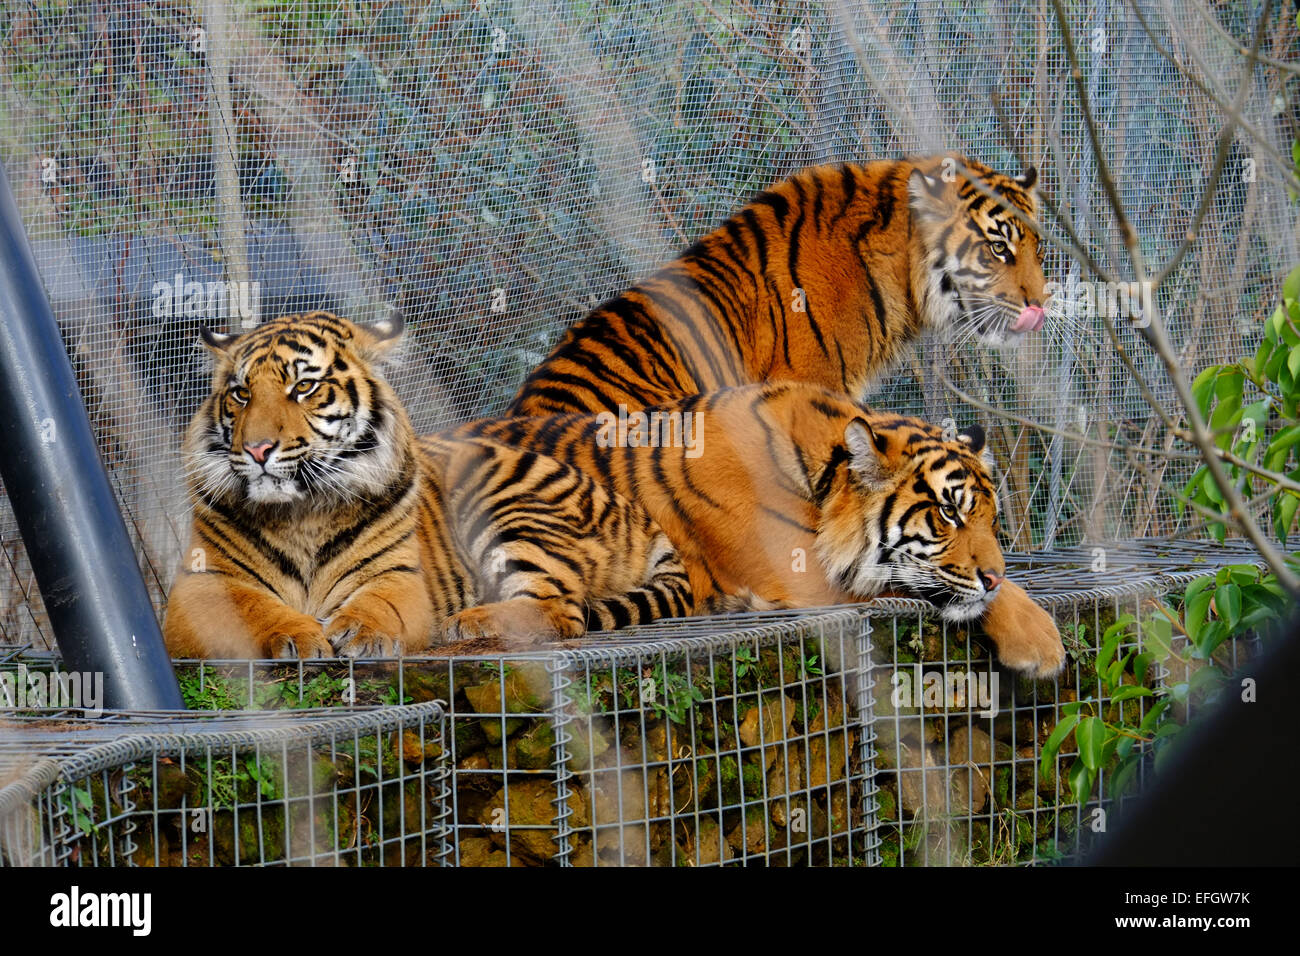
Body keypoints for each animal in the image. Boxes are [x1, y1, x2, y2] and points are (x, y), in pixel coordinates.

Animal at [162, 311, 692, 660]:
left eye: (304, 387)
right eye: (241, 393)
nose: (257, 450)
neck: (302, 512)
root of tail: (638, 514)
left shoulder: (398, 575)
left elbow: (380, 604)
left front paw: (362, 632)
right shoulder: (200, 585)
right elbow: (251, 608)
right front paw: (296, 634)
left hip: (504, 502)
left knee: (564, 610)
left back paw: (468, 623)